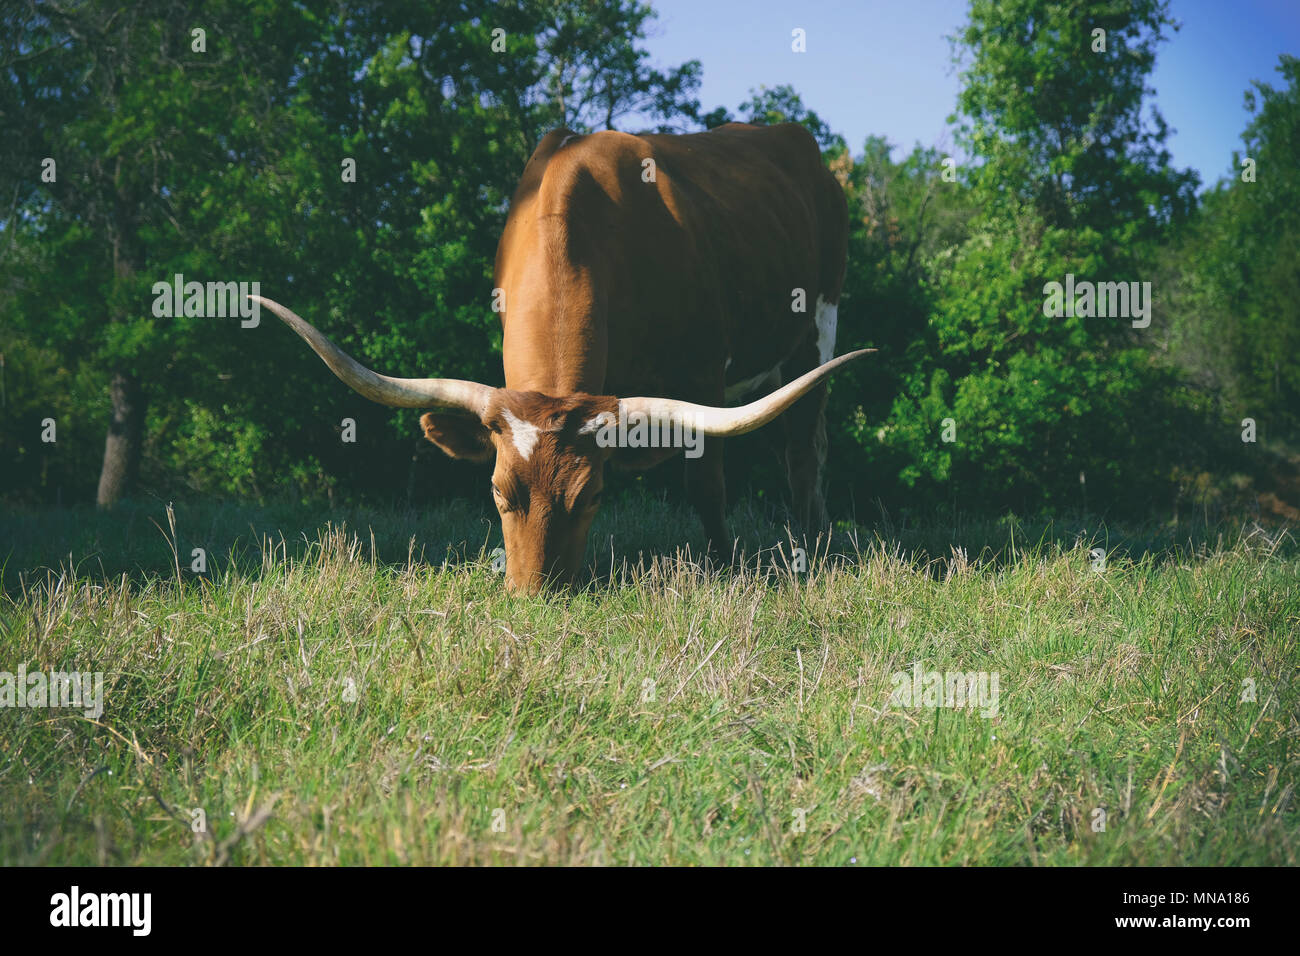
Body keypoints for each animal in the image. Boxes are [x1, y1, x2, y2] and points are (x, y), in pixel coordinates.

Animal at [252, 122, 873, 594]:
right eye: (498, 491)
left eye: (593, 495)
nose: (536, 594)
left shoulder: (704, 375)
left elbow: (707, 482)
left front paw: (724, 567)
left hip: (818, 329)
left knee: (804, 449)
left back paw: (811, 546)